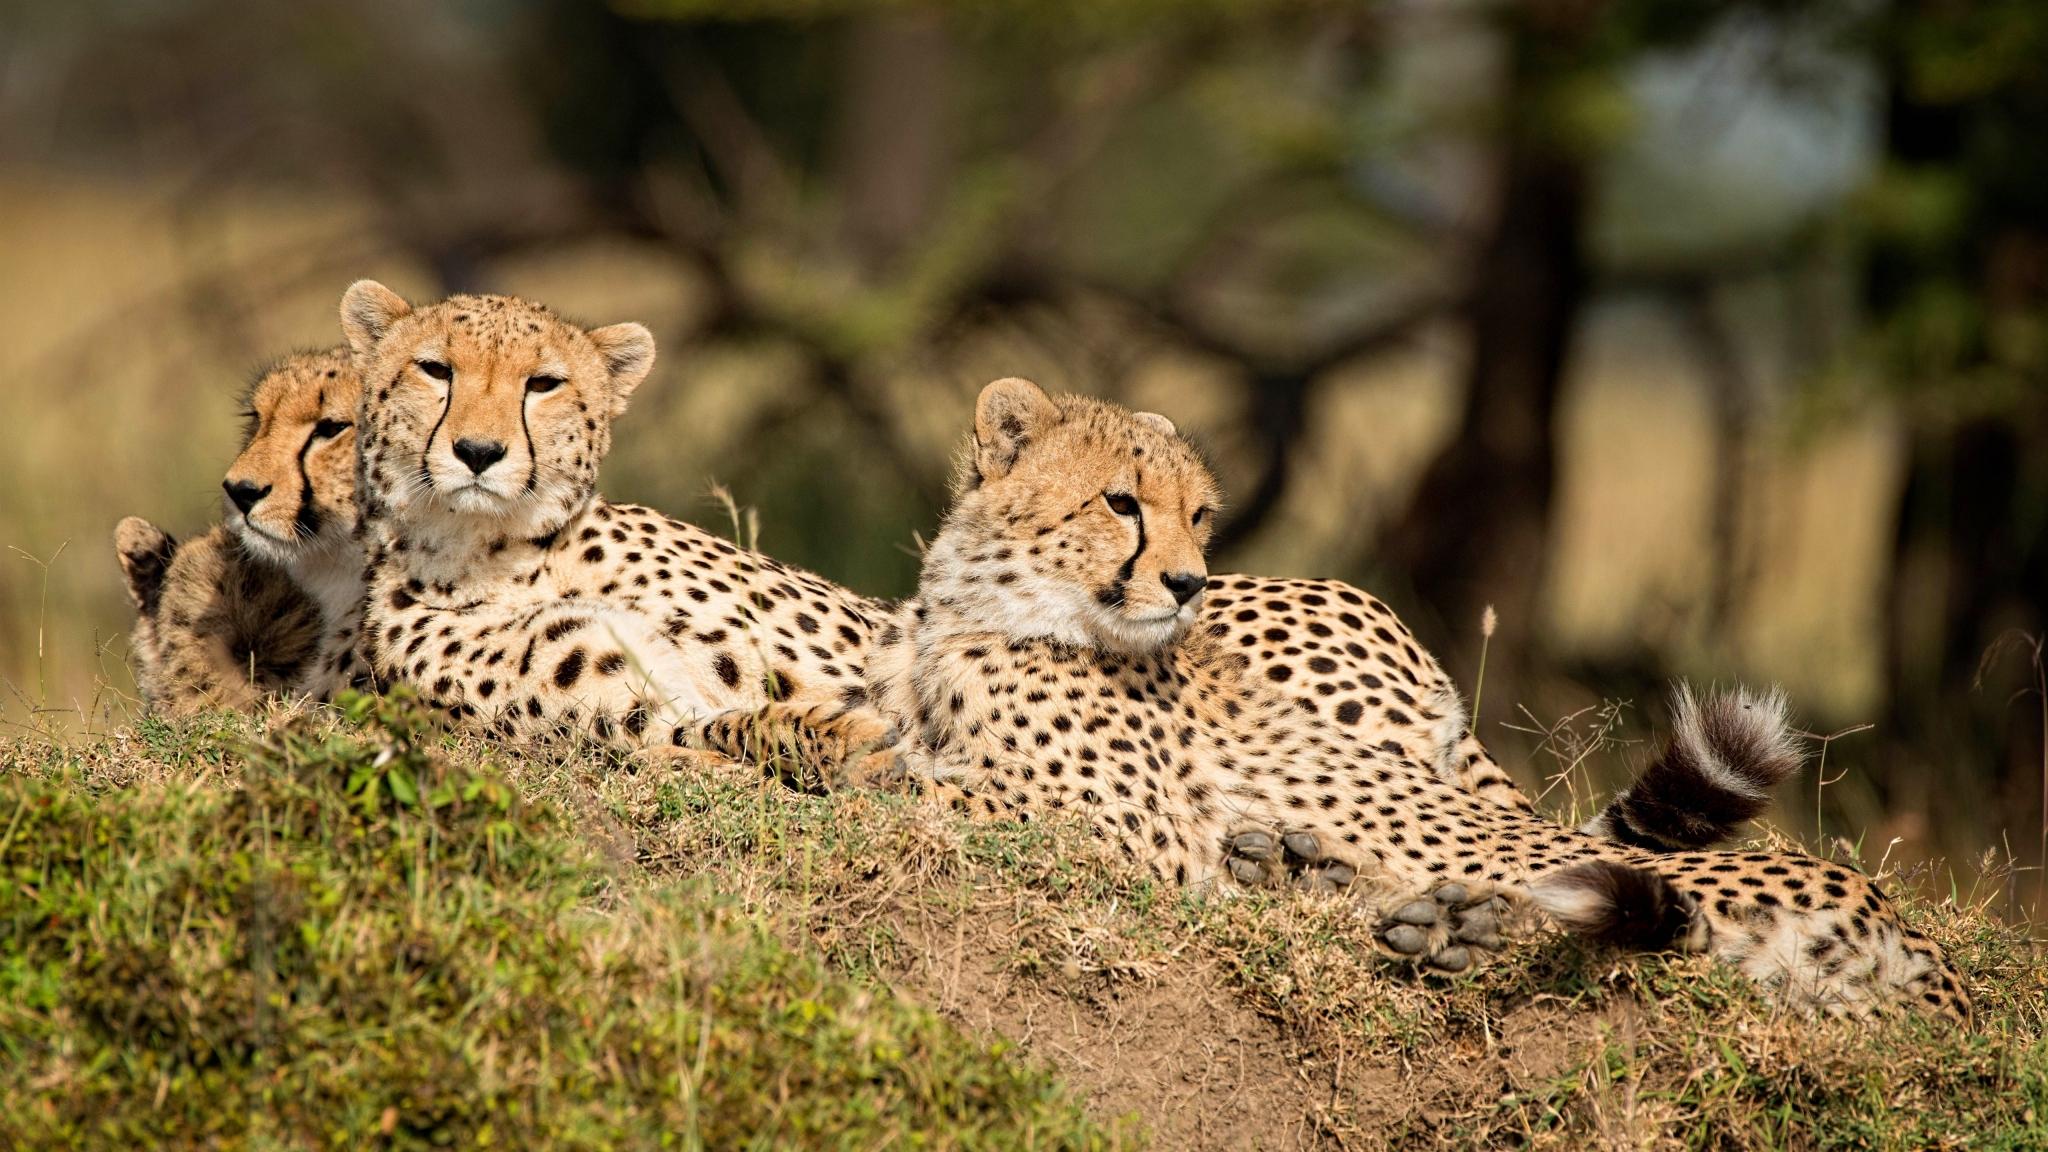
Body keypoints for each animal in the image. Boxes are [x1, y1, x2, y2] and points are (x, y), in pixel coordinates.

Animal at [863, 376, 1969, 1020]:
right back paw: (1314, 877)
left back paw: (1435, 922)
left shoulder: (1142, 841)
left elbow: (935, 791)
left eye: (1200, 515)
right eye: (1120, 503)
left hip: (1625, 881)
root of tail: (1897, 925)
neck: (993, 610)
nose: (1187, 584)